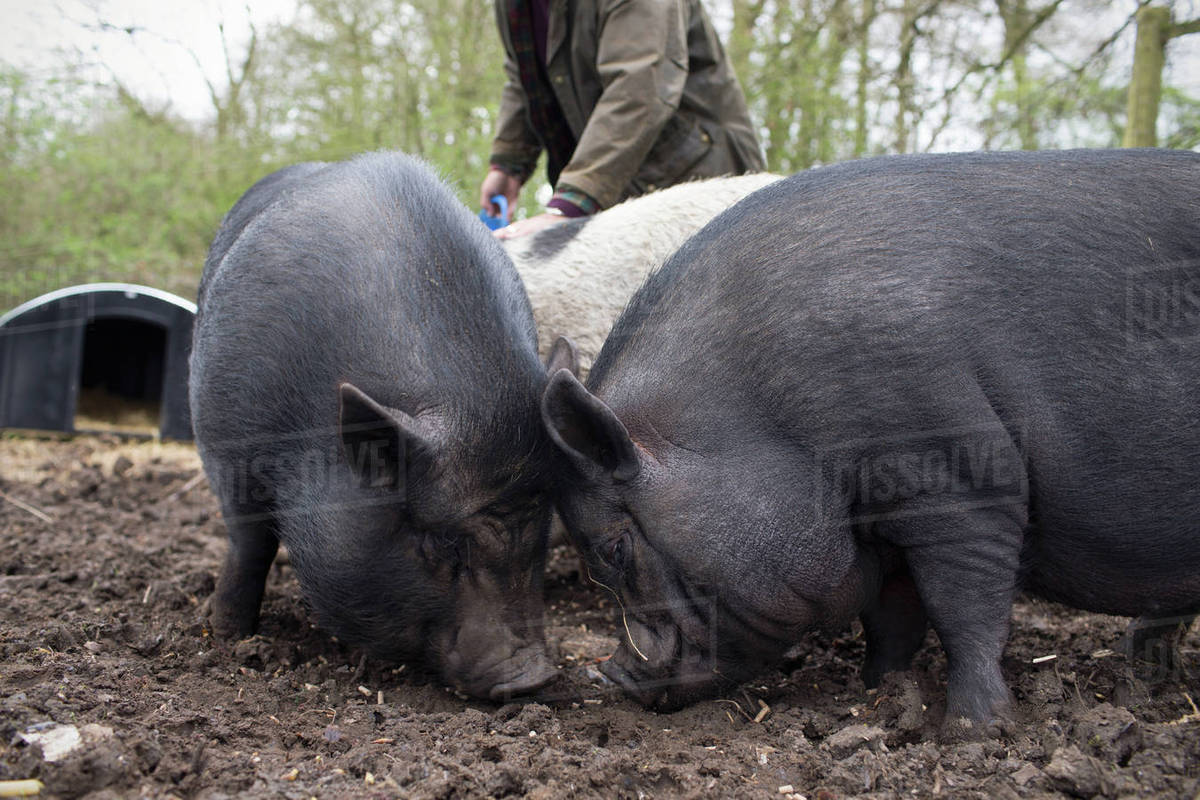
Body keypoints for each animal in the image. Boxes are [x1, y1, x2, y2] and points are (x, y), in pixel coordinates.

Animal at [190, 152, 574, 699]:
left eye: (543, 526)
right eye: (443, 542)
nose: (533, 677)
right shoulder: (223, 439)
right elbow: (250, 544)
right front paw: (227, 636)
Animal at [540, 149, 1200, 723]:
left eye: (614, 549)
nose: (609, 676)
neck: (769, 423)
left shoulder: (961, 482)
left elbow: (964, 610)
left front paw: (975, 728)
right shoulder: (884, 526)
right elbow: (892, 619)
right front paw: (879, 692)